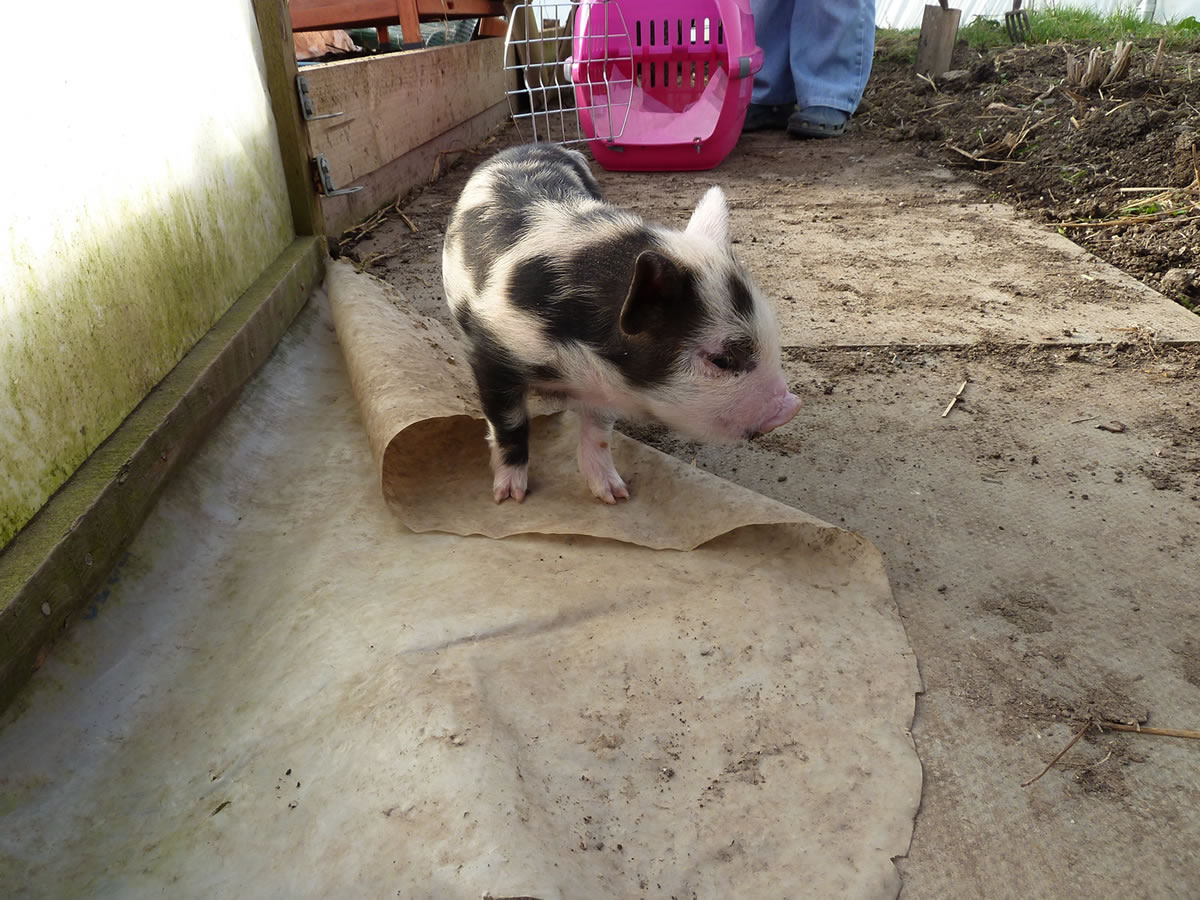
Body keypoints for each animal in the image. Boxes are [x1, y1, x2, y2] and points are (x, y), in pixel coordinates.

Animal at [441, 143, 801, 504]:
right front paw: (509, 496)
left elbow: (599, 431)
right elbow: (510, 425)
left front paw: (615, 495)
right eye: (722, 360)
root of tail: (535, 144)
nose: (791, 407)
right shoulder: (490, 357)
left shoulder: (606, 385)